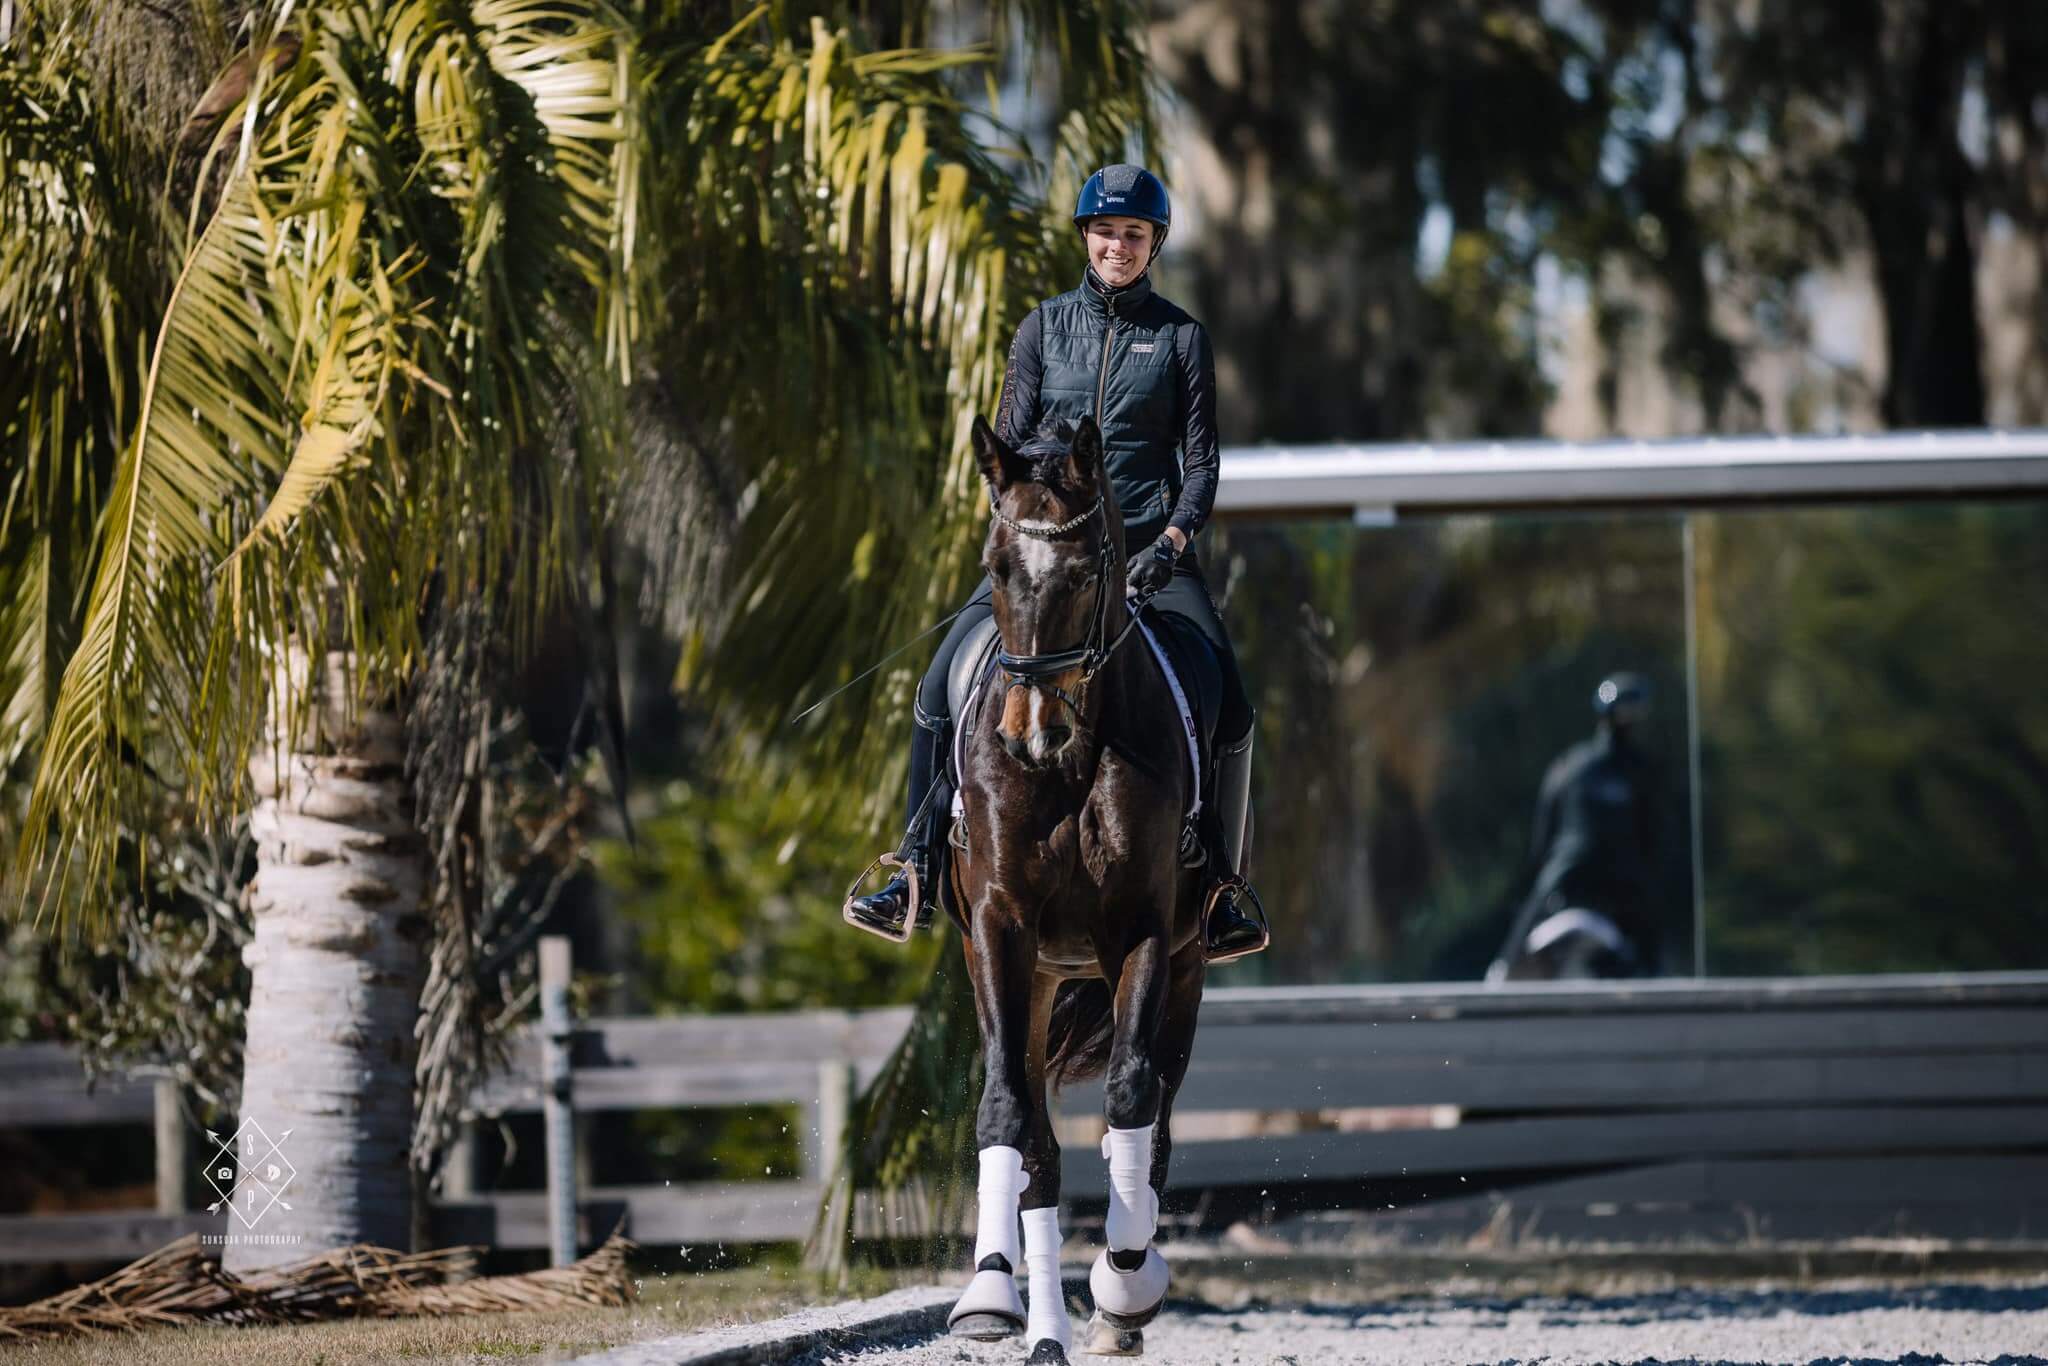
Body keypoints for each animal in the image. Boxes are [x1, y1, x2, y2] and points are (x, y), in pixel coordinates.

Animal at [942, 413, 1211, 1362]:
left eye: (1091, 569)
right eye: (995, 567)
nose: (1030, 735)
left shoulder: (1144, 932)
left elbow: (1132, 1097)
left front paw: (1125, 1286)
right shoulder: (998, 928)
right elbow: (1005, 1113)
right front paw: (992, 1299)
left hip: (1189, 965)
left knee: (1159, 1108)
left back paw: (1118, 1302)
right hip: (1031, 976)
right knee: (1036, 1135)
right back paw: (1028, 1315)